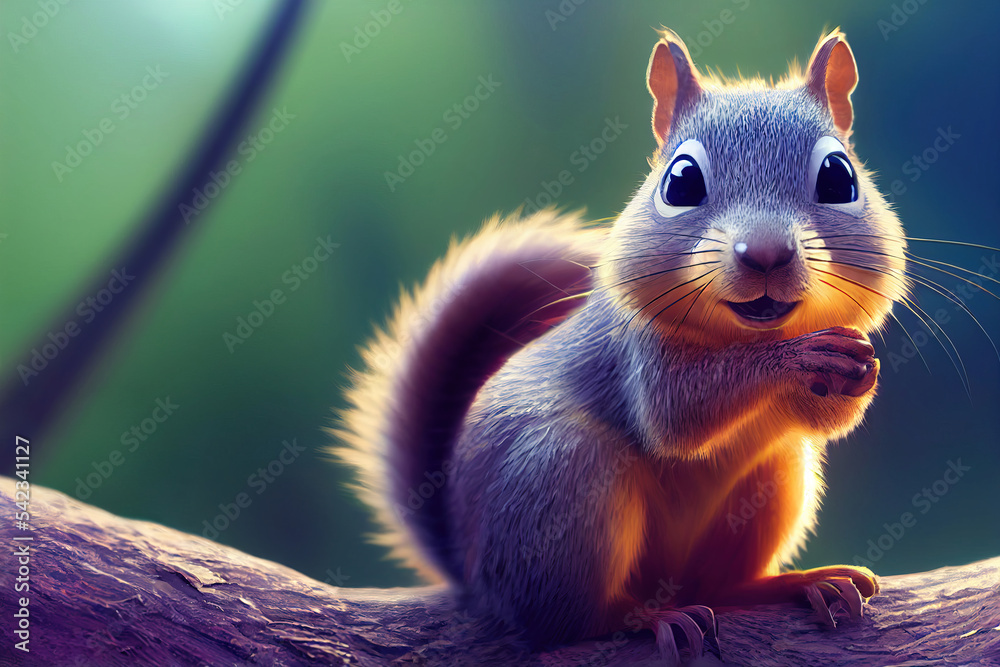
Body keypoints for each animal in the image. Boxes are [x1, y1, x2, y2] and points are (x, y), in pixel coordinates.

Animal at [335, 28, 905, 659]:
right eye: (680, 182)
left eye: (839, 178)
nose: (765, 253)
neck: (748, 331)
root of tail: (473, 574)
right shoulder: (636, 355)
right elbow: (677, 412)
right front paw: (792, 358)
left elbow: (822, 417)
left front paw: (858, 371)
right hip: (564, 477)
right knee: (564, 622)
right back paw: (643, 617)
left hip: (777, 476)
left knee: (721, 586)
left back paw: (795, 584)